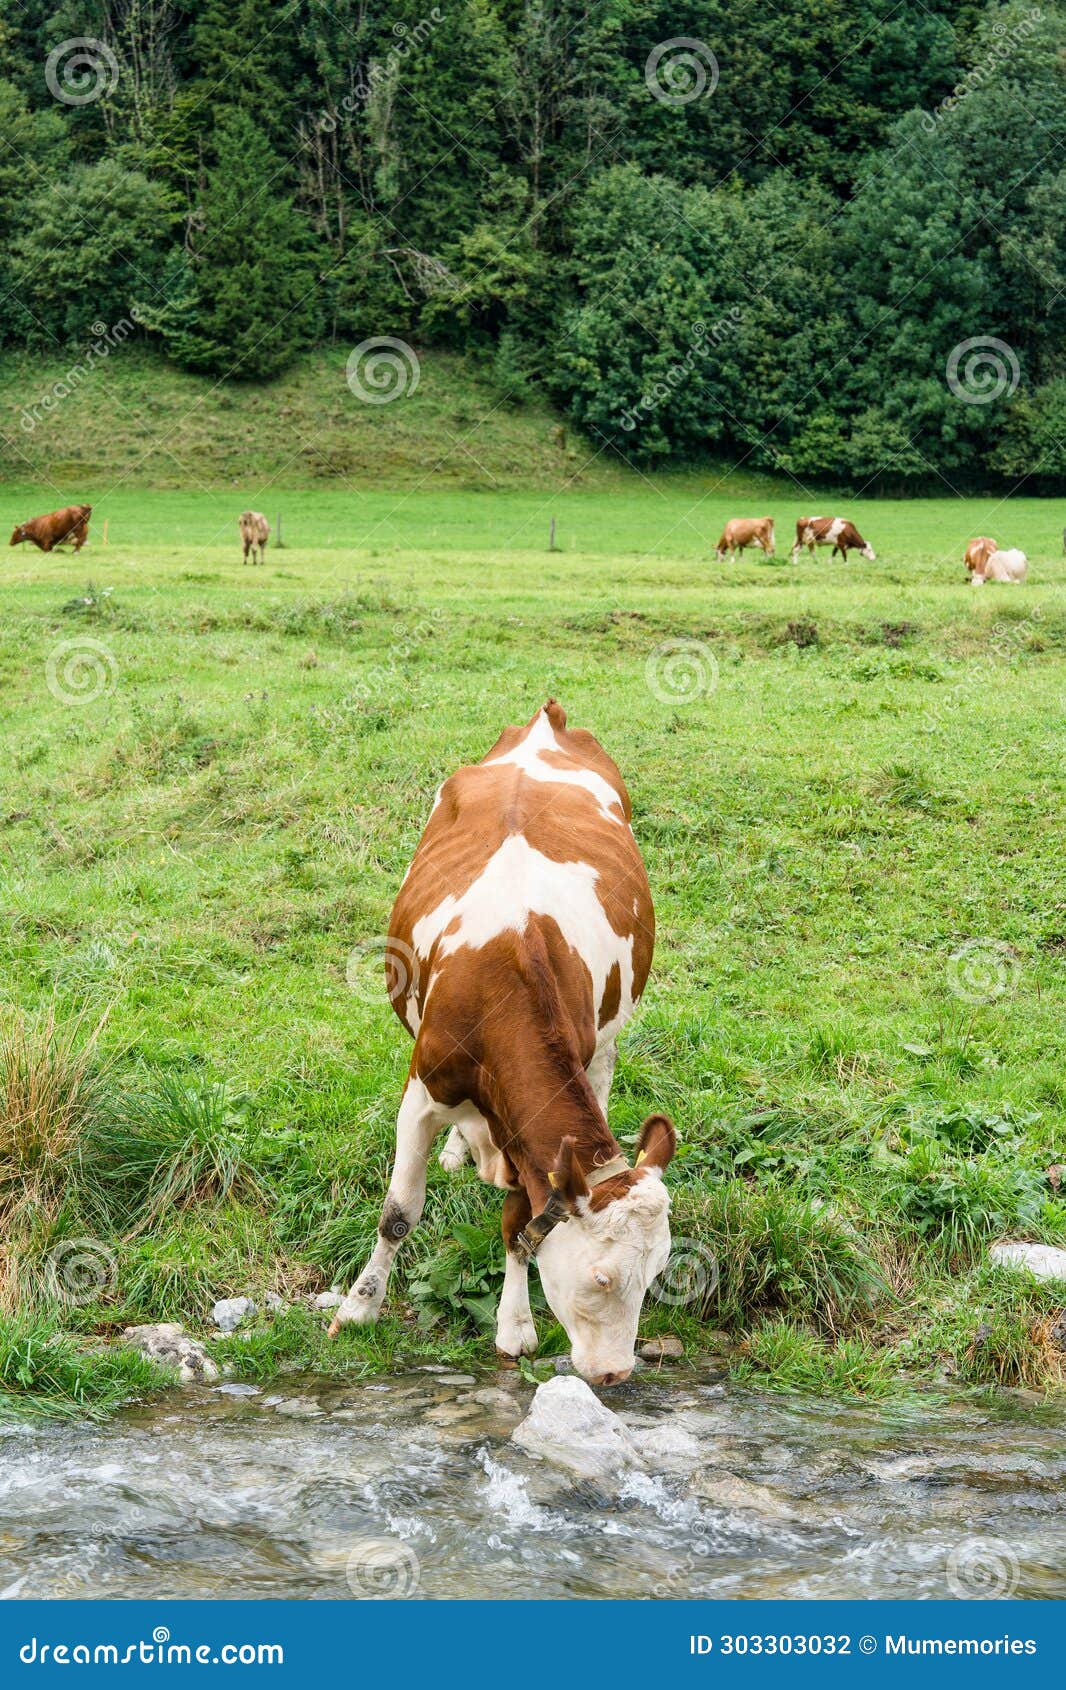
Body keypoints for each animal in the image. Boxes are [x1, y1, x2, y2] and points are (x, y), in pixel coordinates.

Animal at [328, 699, 675, 1385]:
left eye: (654, 1275)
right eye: (602, 1277)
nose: (616, 1374)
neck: (509, 973)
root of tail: (547, 722)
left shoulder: (531, 1135)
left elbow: (520, 1225)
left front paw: (514, 1326)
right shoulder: (422, 1091)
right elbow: (399, 1212)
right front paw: (358, 1308)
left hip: (607, 1034)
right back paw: (456, 1151)